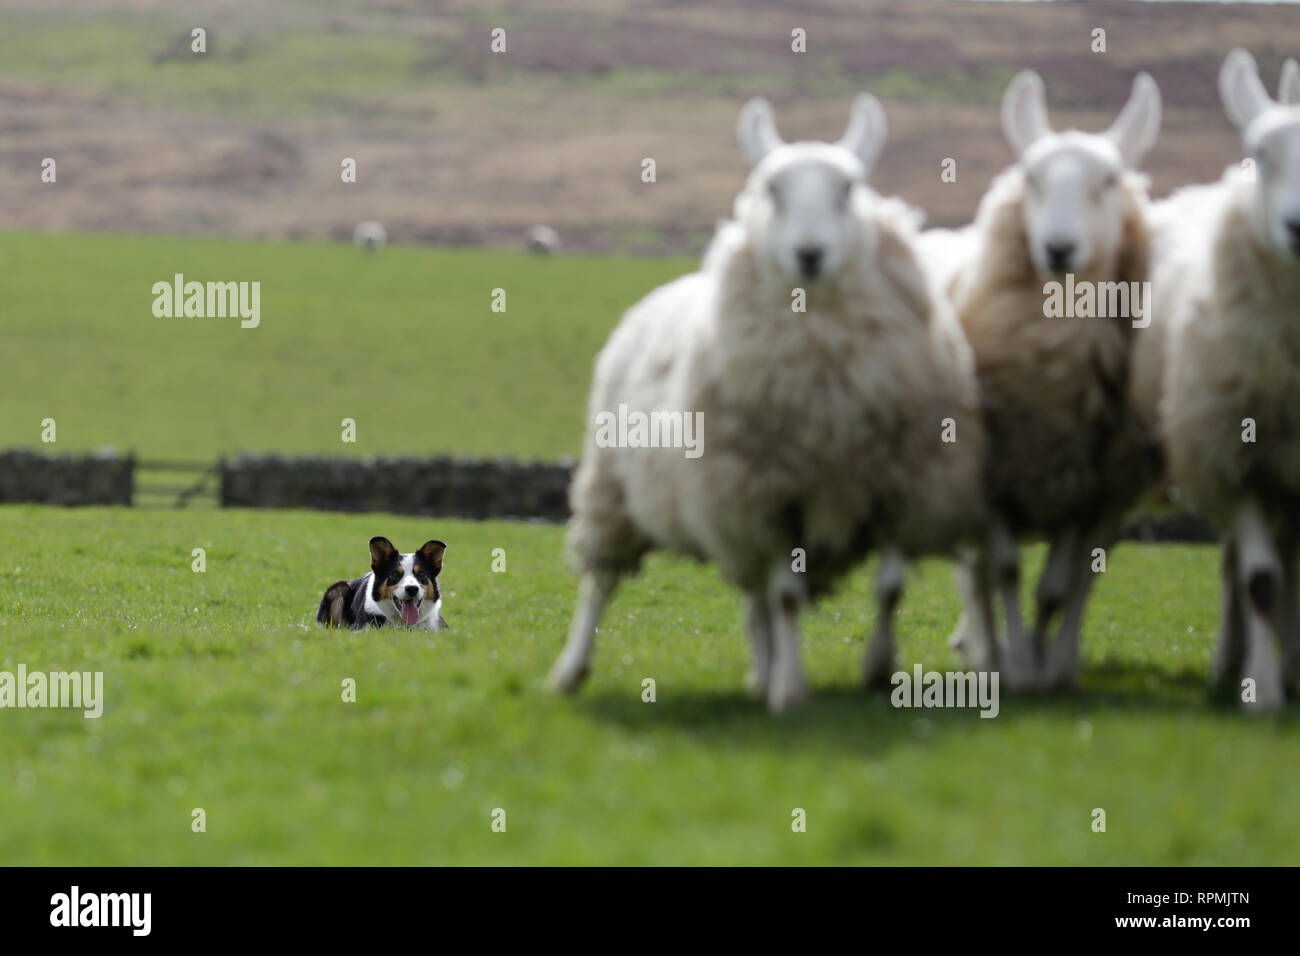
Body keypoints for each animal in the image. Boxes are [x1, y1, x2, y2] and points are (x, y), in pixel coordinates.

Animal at [547, 94, 985, 712]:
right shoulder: (771, 492)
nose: (809, 254)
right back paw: (573, 668)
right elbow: (787, 597)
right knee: (600, 581)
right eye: (771, 189)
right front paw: (792, 690)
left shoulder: (900, 481)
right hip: (619, 487)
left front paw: (877, 667)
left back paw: (762, 670)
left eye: (848, 188)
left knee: (752, 596)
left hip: (725, 506)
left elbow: (888, 587)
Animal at [934, 69, 1162, 688]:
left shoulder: (1088, 490)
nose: (1058, 248)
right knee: (976, 572)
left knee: (1085, 575)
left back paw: (1059, 660)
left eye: (1109, 180)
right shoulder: (992, 477)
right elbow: (1006, 571)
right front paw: (1014, 665)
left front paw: (1041, 666)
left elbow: (1057, 588)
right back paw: (986, 650)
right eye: (1032, 178)